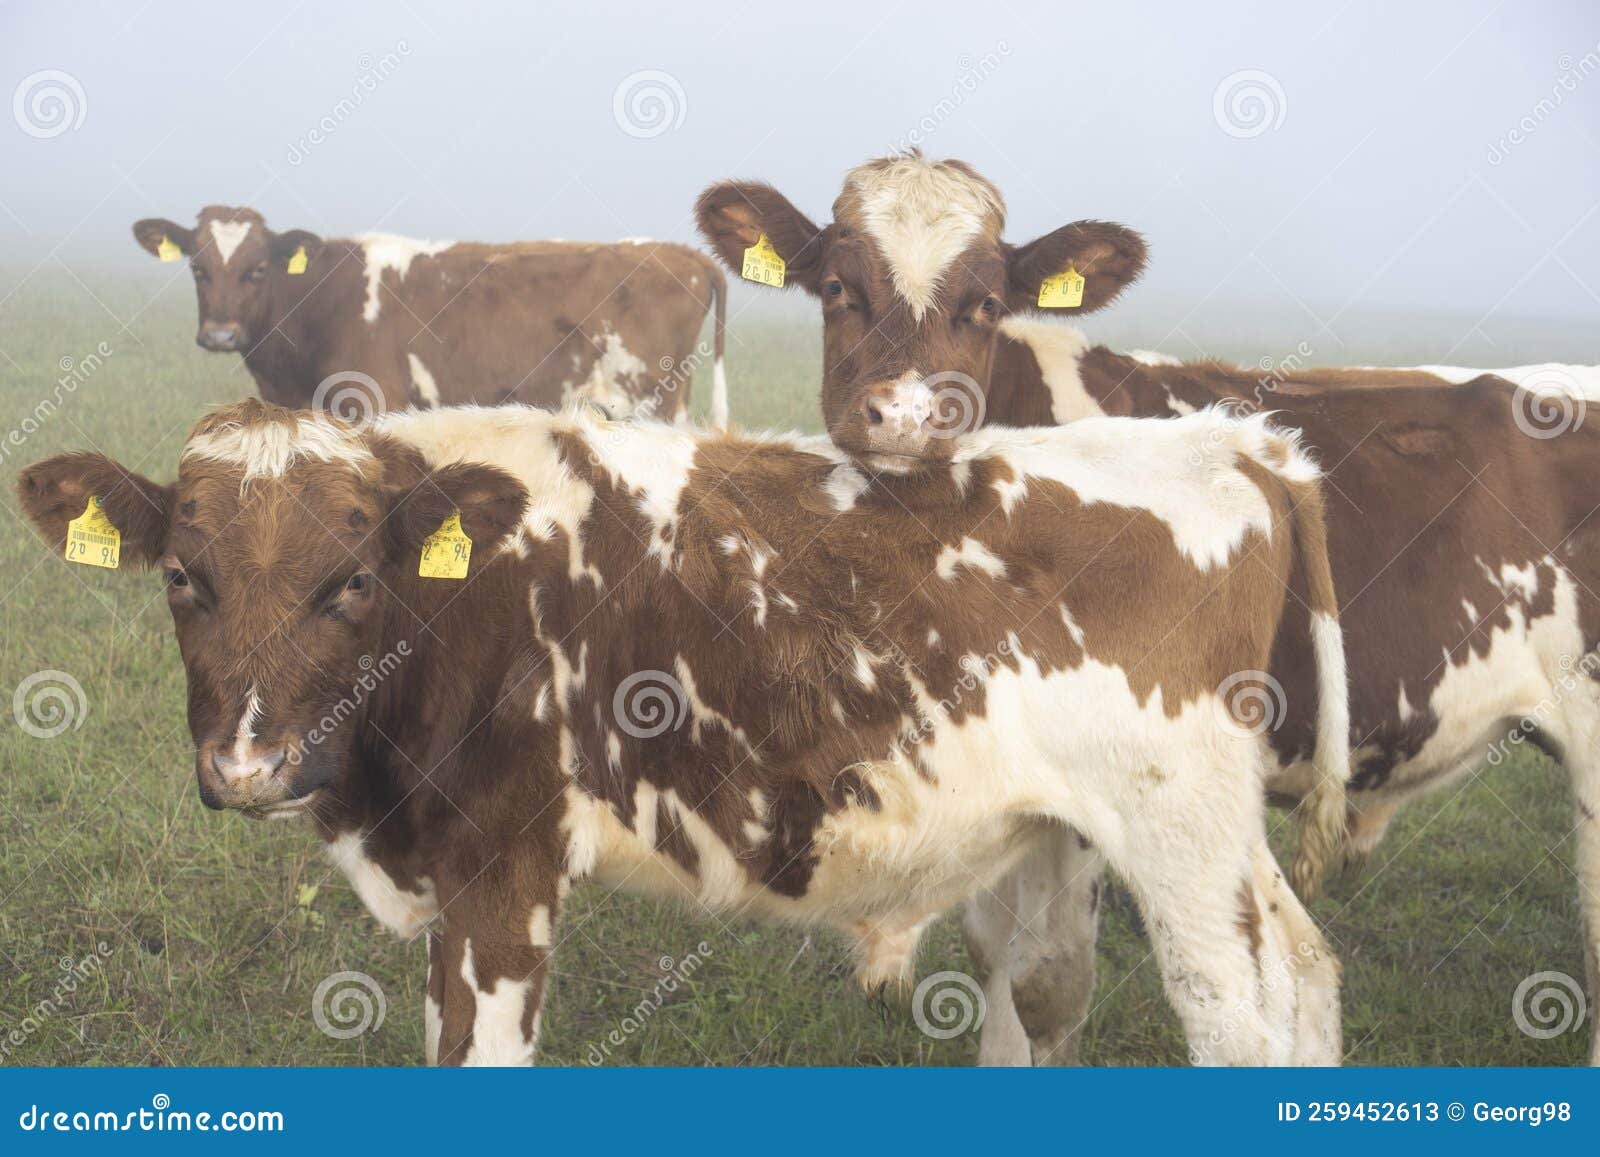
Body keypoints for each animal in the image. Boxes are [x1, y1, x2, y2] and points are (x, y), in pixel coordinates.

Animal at [19, 396, 1351, 1066]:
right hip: (1195, 833)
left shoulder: (504, 869)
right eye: (181, 576)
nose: (250, 763)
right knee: (1293, 969)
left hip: (1177, 835)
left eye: (350, 580)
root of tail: (1228, 436)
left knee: (1234, 1017)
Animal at [133, 207, 729, 426]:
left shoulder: (373, 404)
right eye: (197, 267)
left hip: (652, 405)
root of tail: (685, 254)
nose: (219, 333)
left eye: (258, 269)